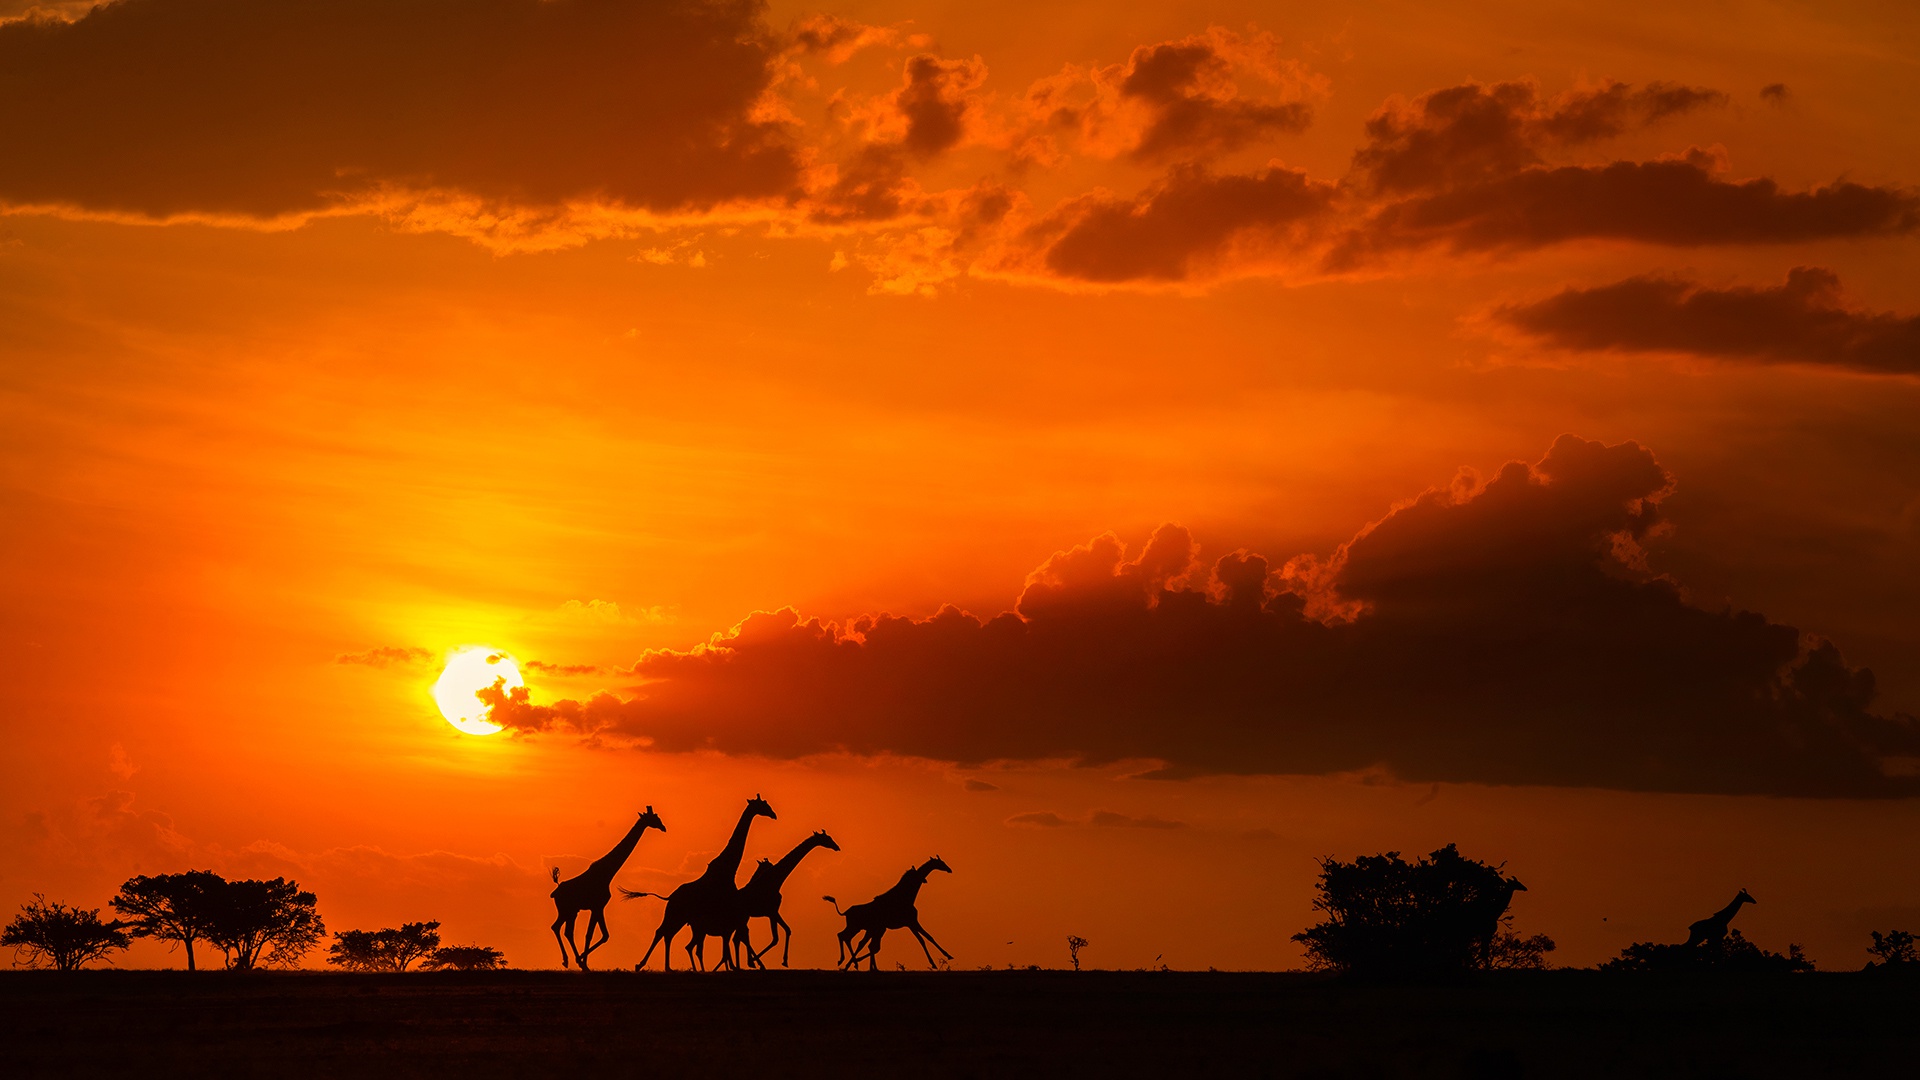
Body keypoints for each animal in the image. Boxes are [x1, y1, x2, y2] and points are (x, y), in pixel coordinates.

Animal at [548, 806, 665, 970]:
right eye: (654, 818)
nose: (663, 827)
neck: (607, 872)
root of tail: (555, 891)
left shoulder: (596, 907)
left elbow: (593, 935)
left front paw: (584, 962)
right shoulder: (598, 906)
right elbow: (601, 935)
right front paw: (582, 961)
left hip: (570, 911)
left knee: (561, 929)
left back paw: (567, 960)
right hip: (568, 910)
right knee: (563, 930)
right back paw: (569, 961)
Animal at [629, 794, 776, 971]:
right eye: (763, 805)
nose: (774, 815)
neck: (728, 870)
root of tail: (670, 897)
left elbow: (729, 938)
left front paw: (734, 965)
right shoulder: (727, 909)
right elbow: (731, 937)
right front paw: (736, 966)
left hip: (681, 917)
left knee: (667, 933)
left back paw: (666, 967)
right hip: (676, 914)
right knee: (662, 932)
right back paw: (642, 965)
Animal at [729, 830, 841, 968]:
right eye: (827, 838)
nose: (837, 847)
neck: (776, 881)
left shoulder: (773, 912)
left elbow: (786, 931)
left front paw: (784, 961)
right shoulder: (772, 912)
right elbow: (776, 938)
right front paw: (767, 961)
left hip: (743, 918)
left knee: (738, 937)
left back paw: (745, 964)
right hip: (743, 917)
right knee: (740, 937)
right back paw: (749, 964)